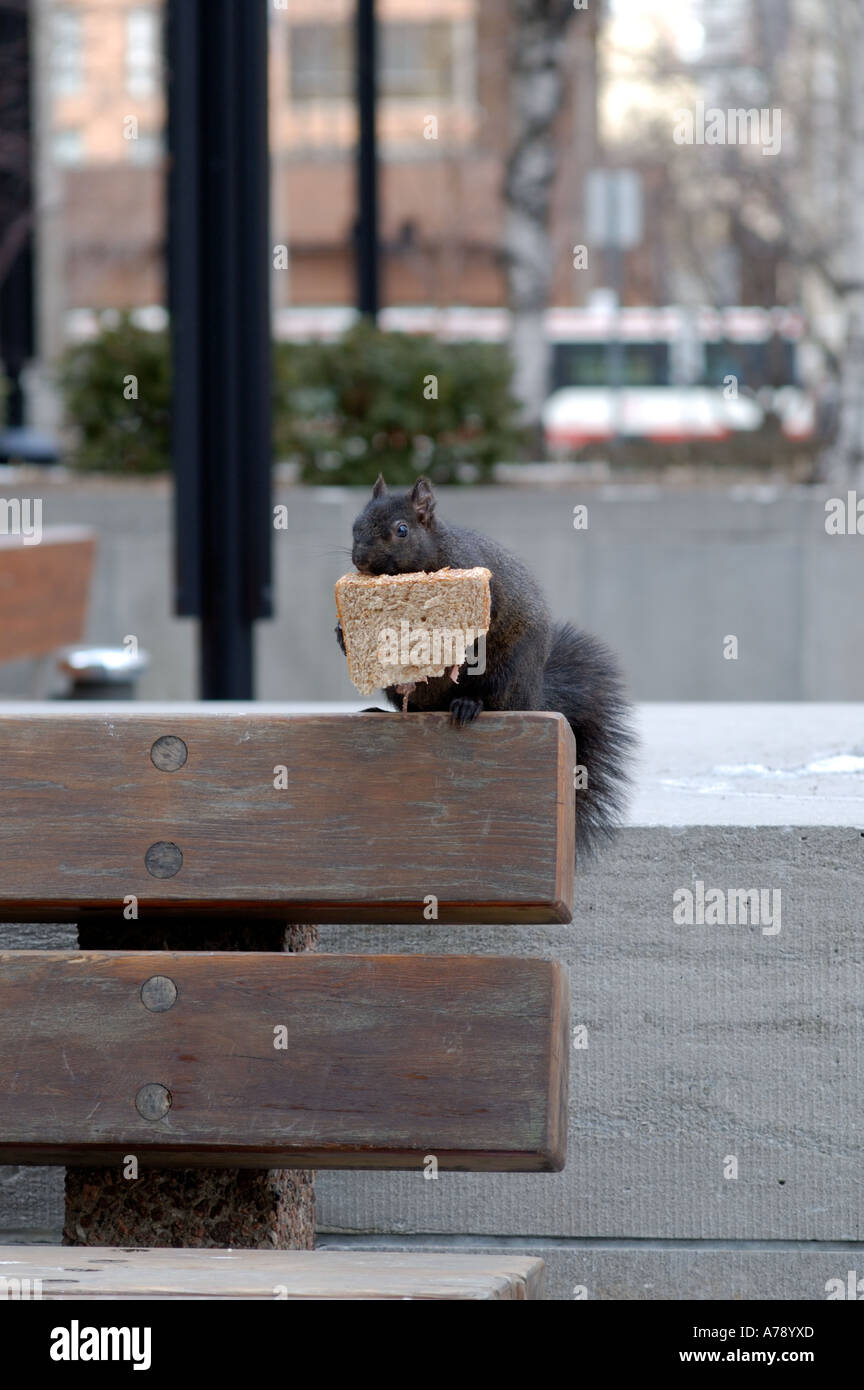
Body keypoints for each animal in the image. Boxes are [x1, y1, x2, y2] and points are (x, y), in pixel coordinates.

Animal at [337, 474, 635, 853]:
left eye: (402, 530)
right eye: (355, 526)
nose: (360, 560)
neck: (430, 556)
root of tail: (534, 697)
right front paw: (343, 633)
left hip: (507, 671)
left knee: (494, 702)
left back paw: (468, 704)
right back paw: (384, 712)